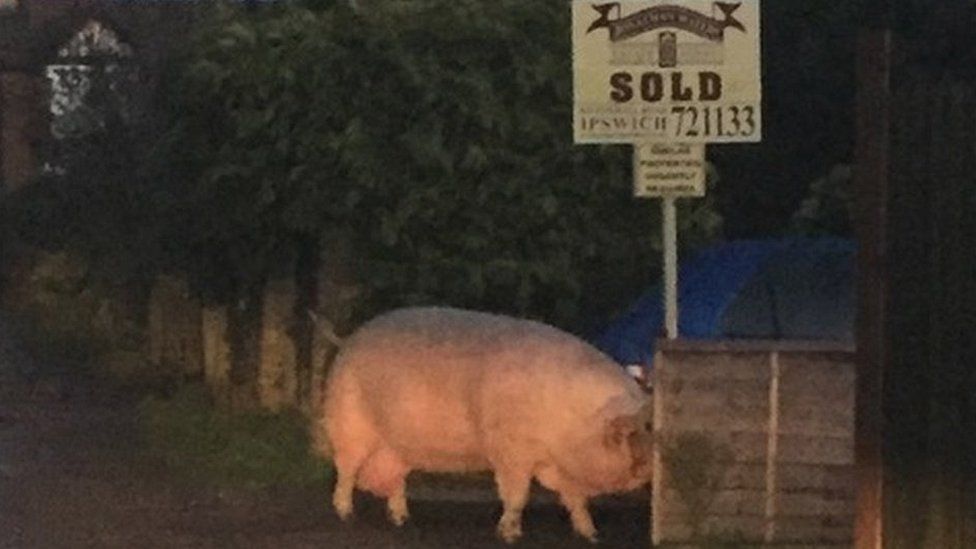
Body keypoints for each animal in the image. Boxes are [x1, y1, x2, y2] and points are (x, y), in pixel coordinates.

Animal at [313, 306, 653, 543]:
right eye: (634, 432)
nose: (652, 465)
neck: (572, 421)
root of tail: (348, 339)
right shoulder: (510, 450)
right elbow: (517, 494)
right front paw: (510, 535)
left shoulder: (560, 464)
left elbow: (575, 500)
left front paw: (591, 535)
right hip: (350, 424)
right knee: (346, 470)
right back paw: (346, 515)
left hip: (395, 447)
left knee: (395, 481)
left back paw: (402, 520)